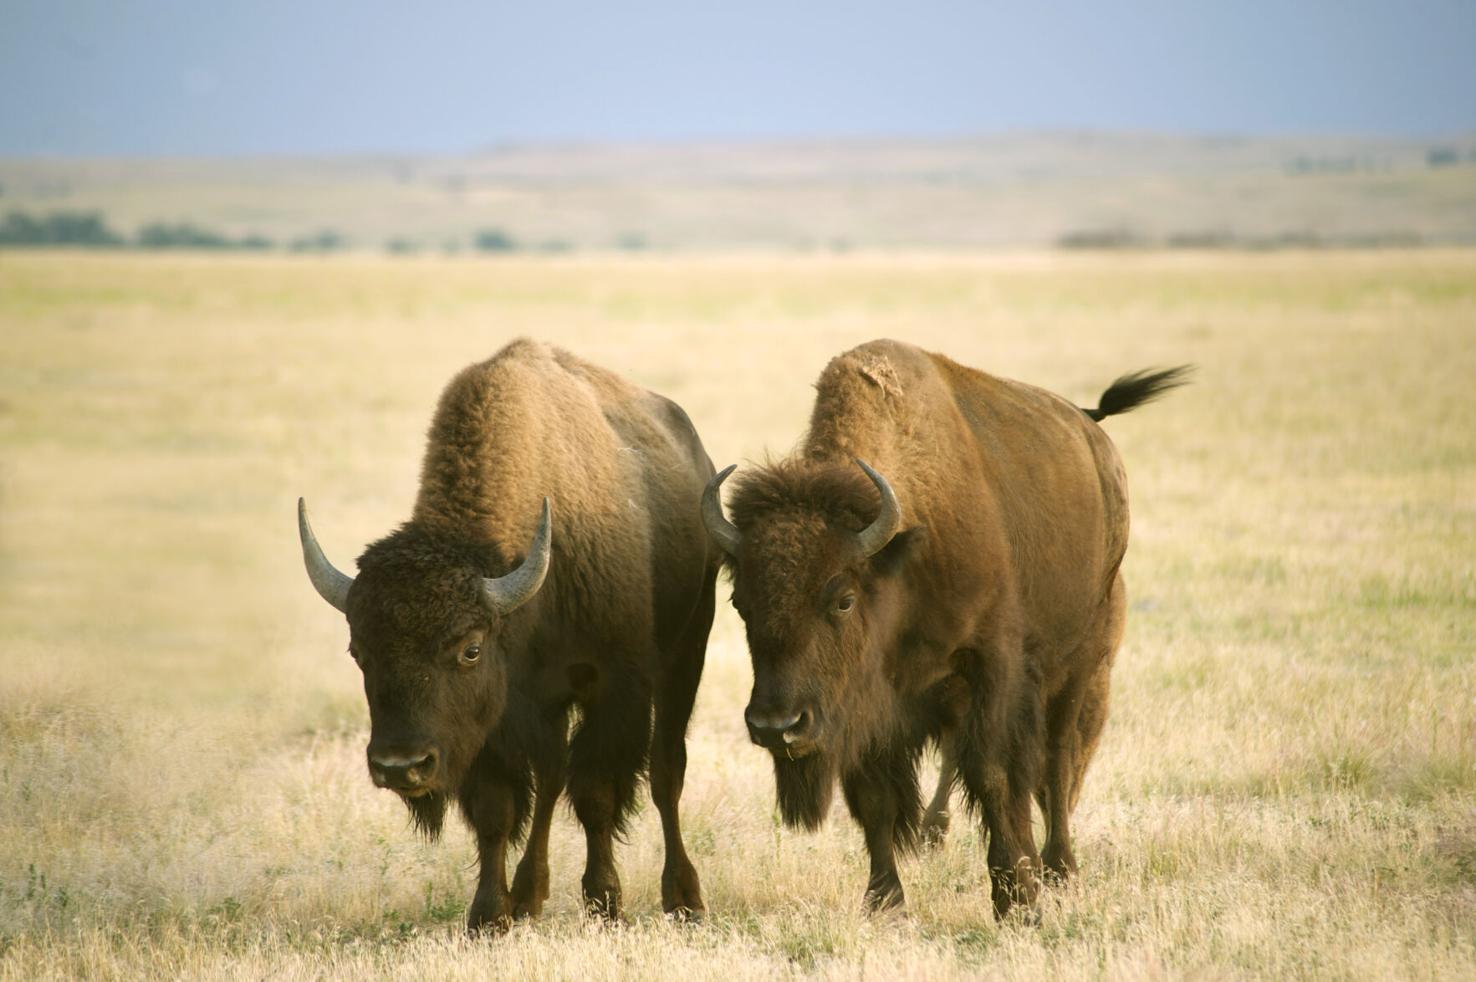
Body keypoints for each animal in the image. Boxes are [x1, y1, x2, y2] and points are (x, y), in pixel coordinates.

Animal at [297, 339, 719, 933]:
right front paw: (489, 915)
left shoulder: (612, 690)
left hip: (685, 655)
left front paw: (604, 902)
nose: (400, 766)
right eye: (359, 653)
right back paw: (529, 895)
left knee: (664, 773)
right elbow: (498, 810)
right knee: (550, 781)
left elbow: (596, 795)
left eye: (470, 649)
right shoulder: (496, 721)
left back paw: (683, 899)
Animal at [700, 339, 1188, 918]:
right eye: (740, 603)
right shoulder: (871, 707)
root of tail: (1092, 432)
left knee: (1056, 763)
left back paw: (1060, 868)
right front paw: (884, 902)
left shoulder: (992, 668)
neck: (902, 558)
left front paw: (1017, 900)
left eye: (843, 600)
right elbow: (874, 797)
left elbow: (996, 776)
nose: (777, 726)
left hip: (1080, 663)